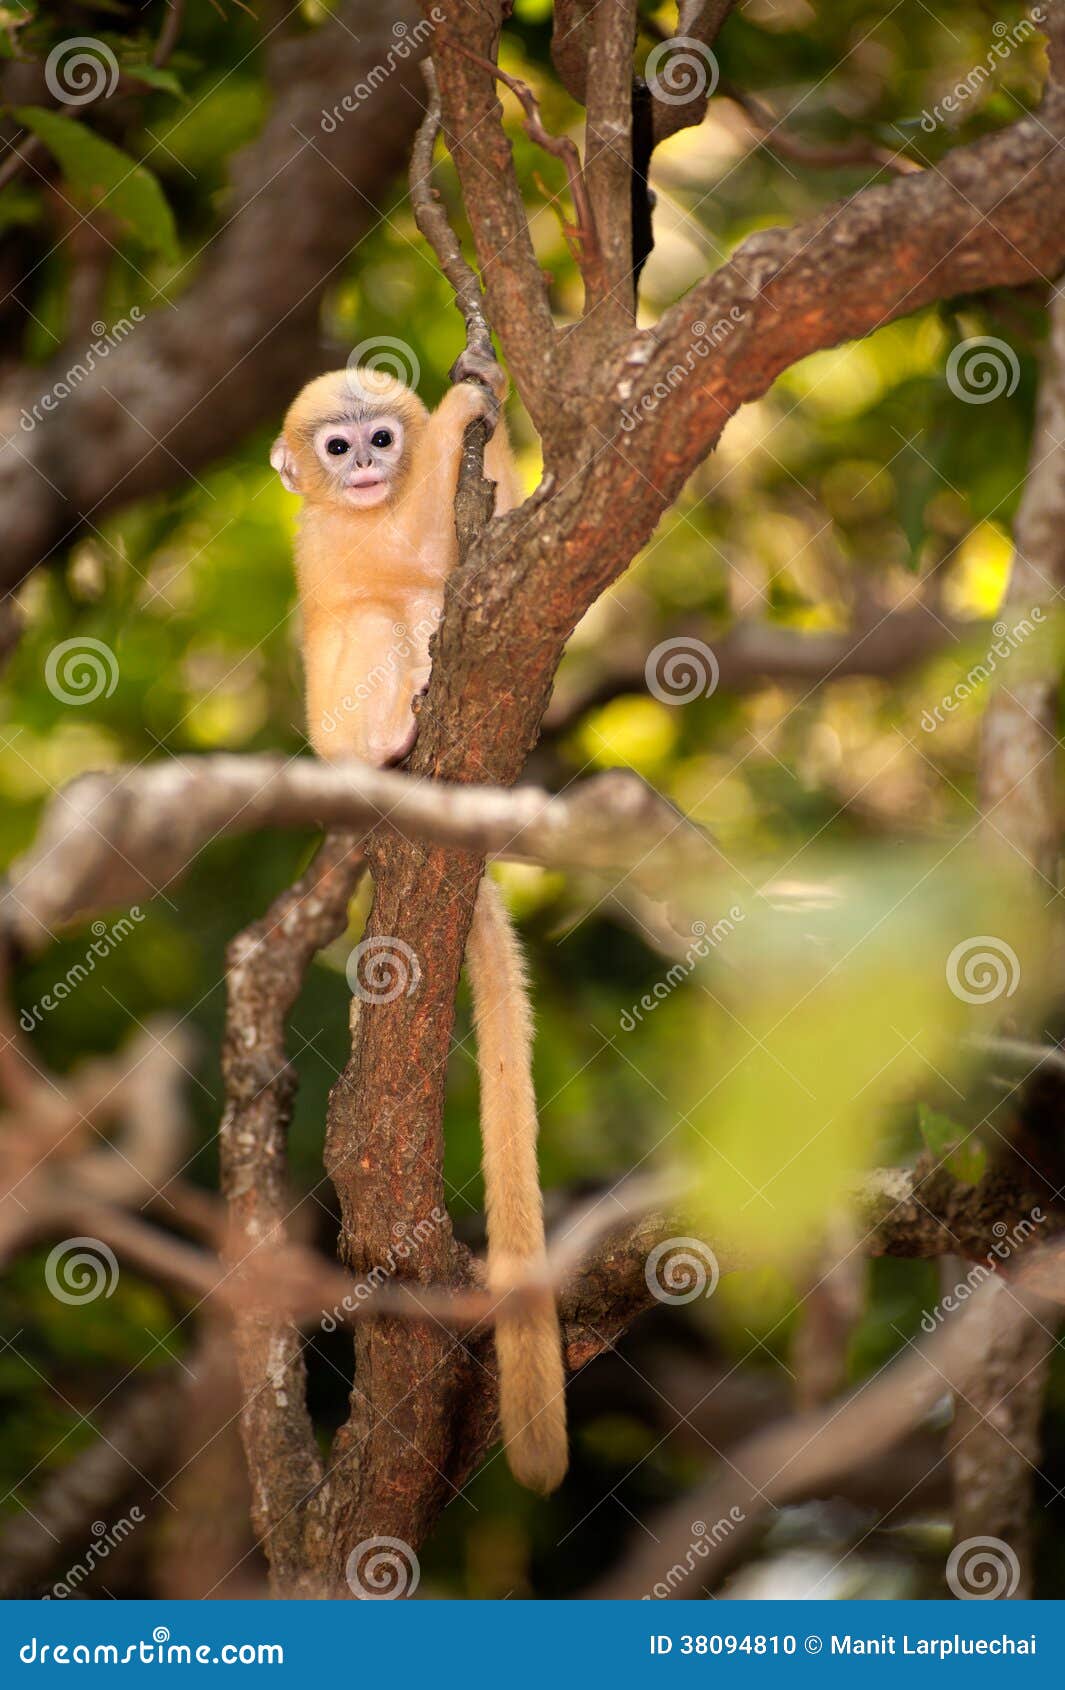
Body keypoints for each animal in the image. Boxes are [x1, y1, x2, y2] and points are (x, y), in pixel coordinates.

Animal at [271, 353, 568, 1495]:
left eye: (376, 439)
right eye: (339, 446)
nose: (367, 467)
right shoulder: (340, 535)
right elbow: (395, 557)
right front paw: (459, 417)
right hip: (343, 726)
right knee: (380, 623)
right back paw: (397, 736)